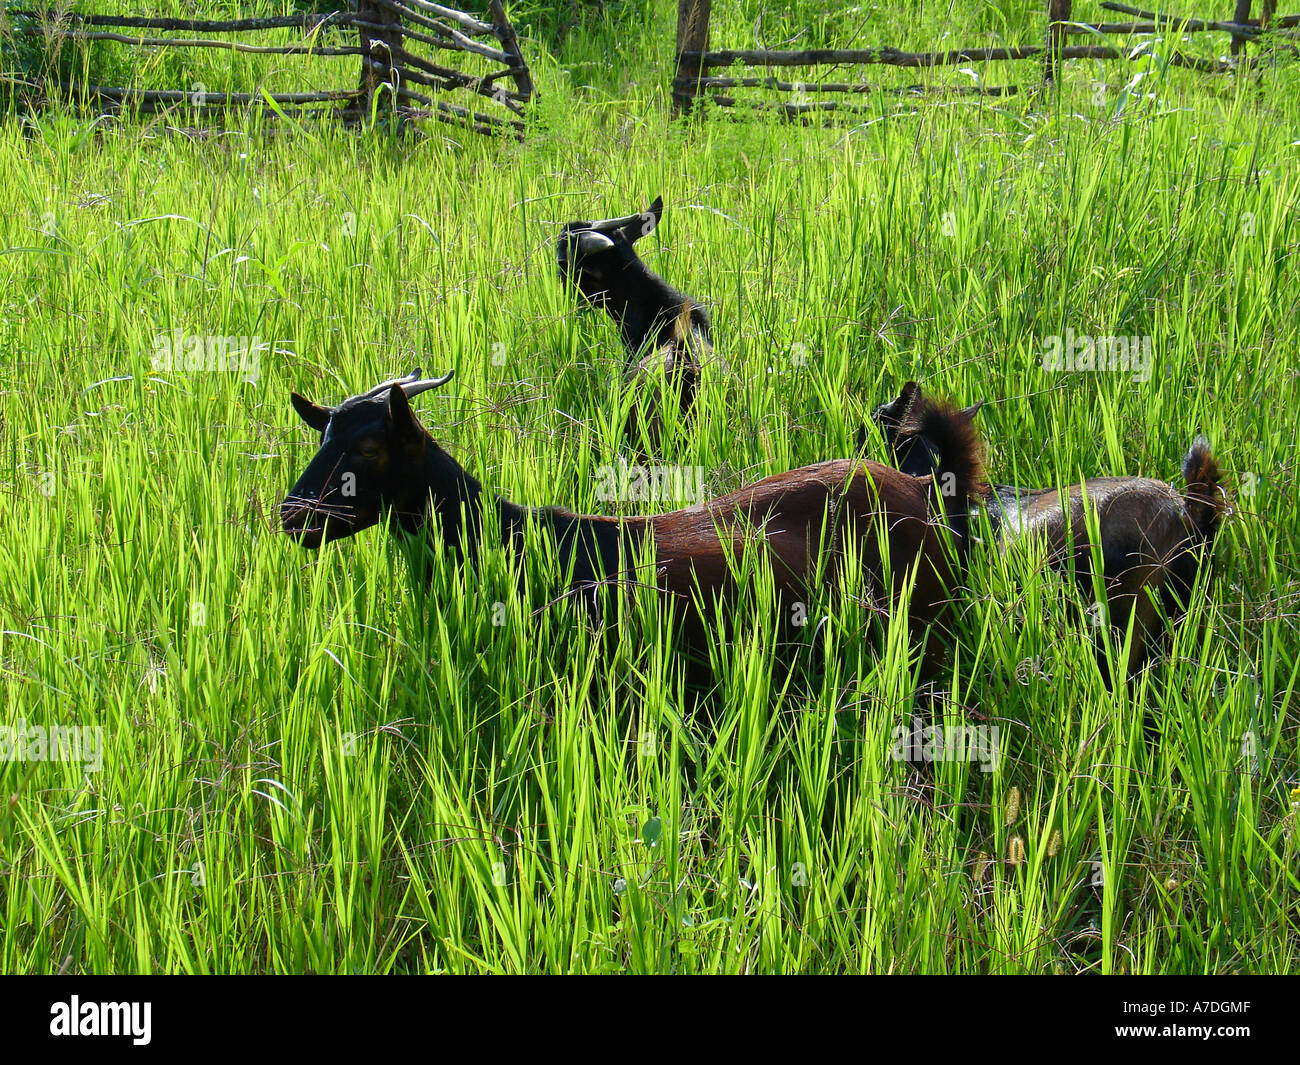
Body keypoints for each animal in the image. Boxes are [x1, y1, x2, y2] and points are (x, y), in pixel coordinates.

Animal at [281, 371, 988, 678]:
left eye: (369, 448)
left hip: (926, 626)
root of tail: (929, 488)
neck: (511, 537)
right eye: (322, 435)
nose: (294, 515)